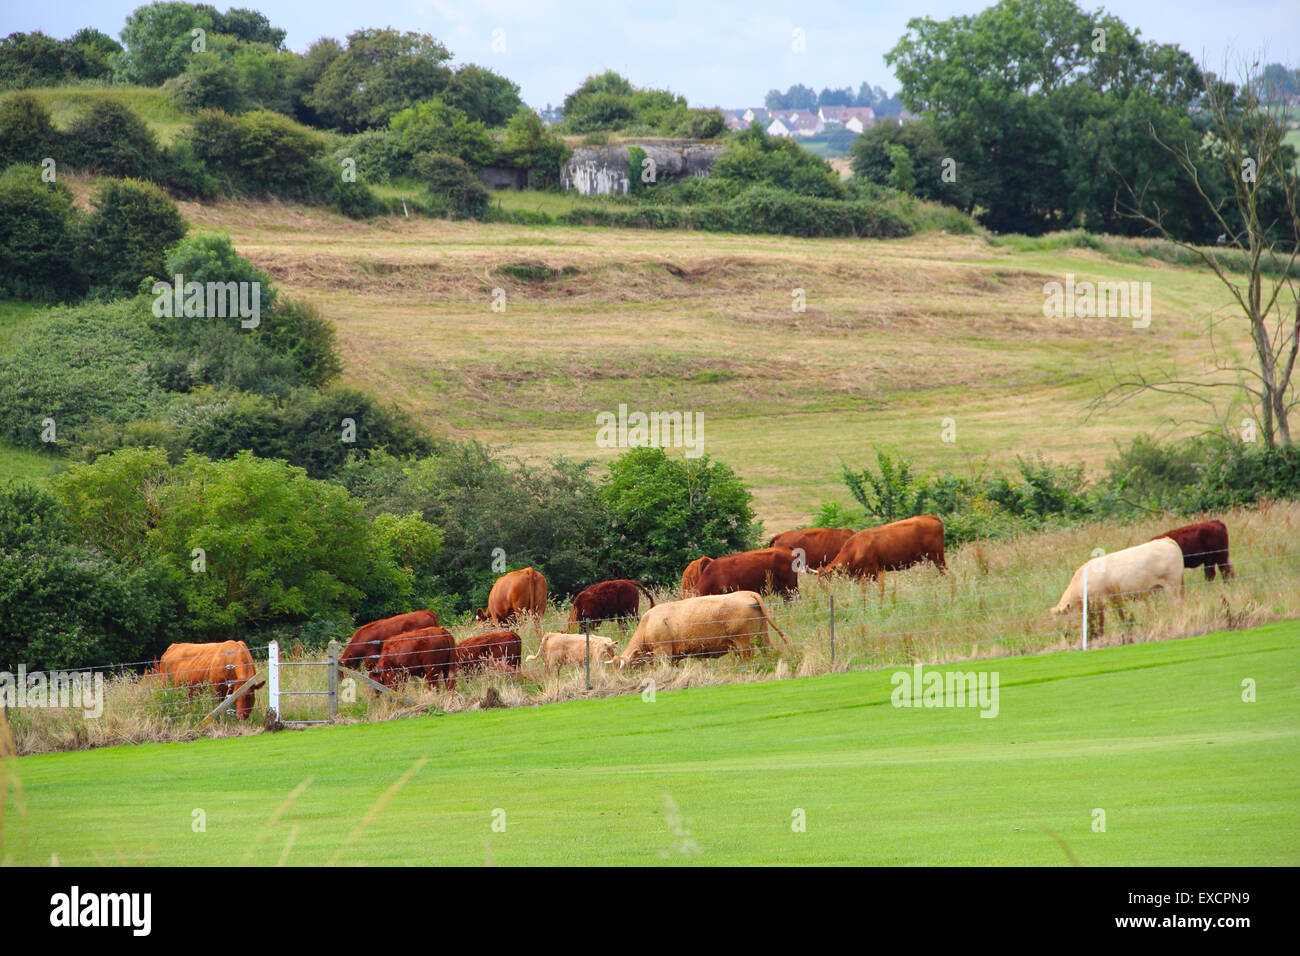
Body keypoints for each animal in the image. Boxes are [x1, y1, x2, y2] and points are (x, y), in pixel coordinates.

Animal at [612, 591, 789, 669]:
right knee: (769, 651)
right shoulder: (674, 656)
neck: (647, 624)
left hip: (744, 642)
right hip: (762, 636)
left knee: (748, 658)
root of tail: (747, 593)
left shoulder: (663, 651)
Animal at [1051, 538, 1184, 638]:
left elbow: (1100, 621)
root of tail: (1165, 540)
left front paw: (1099, 635)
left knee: (1175, 605)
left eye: (1064, 617)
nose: (1065, 634)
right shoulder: (1112, 600)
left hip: (1172, 585)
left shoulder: (1098, 601)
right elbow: (1118, 615)